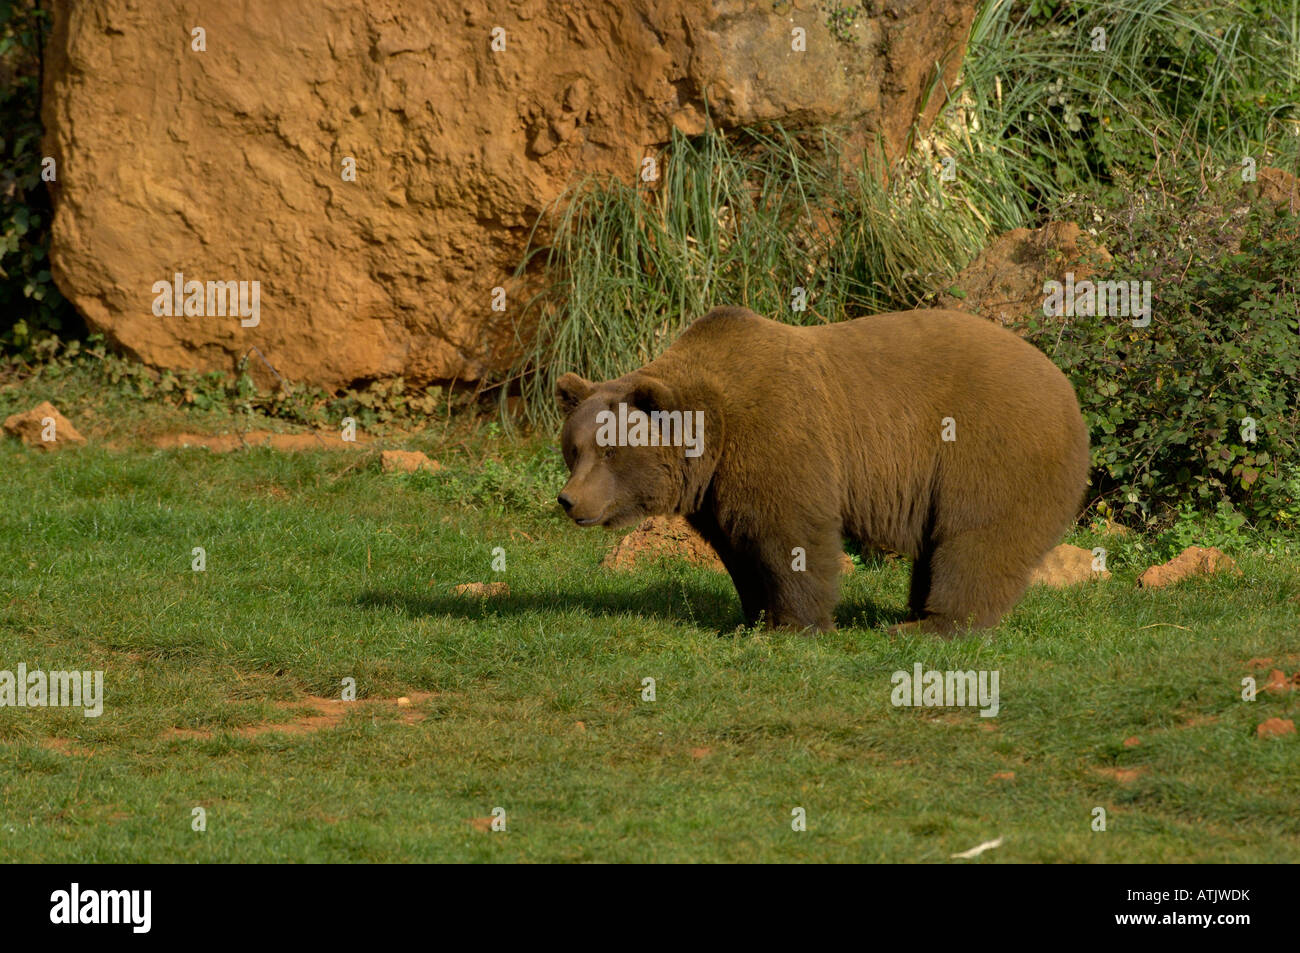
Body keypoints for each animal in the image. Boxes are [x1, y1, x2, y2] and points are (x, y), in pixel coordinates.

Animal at [555, 307, 1090, 636]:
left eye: (610, 450)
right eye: (573, 448)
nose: (569, 500)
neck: (713, 434)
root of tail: (1064, 386)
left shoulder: (778, 435)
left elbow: (791, 535)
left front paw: (795, 626)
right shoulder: (717, 488)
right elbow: (738, 547)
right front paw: (754, 618)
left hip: (991, 449)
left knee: (974, 539)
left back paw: (927, 625)